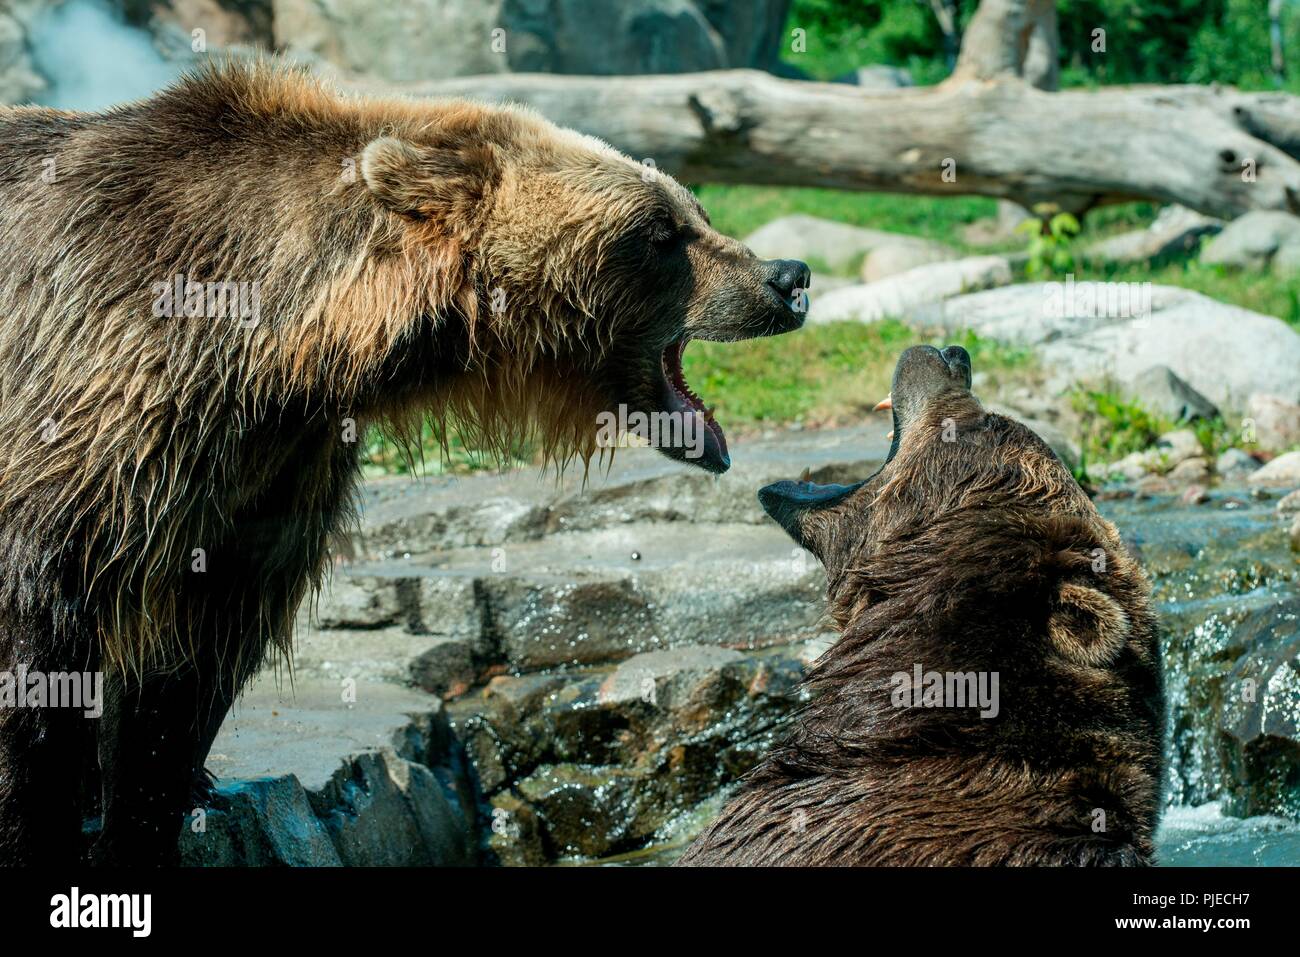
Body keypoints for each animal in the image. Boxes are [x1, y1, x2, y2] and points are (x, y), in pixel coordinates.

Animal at [0, 59, 810, 865]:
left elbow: (187, 670)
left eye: (695, 208)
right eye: (659, 231)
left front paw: (145, 816)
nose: (789, 276)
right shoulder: (104, 409)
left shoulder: (267, 472)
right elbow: (38, 637)